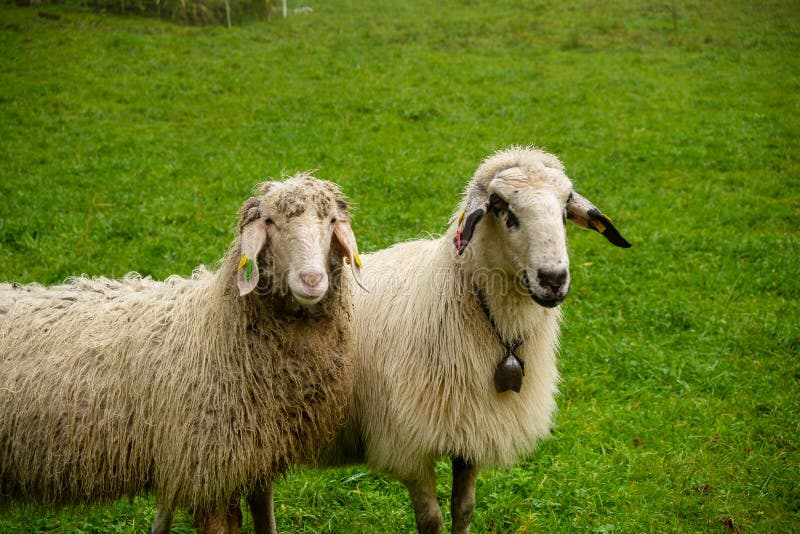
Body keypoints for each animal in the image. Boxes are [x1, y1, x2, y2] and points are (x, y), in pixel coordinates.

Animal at [0, 173, 367, 533]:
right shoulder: (208, 466)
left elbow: (265, 520)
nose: (312, 280)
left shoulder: (254, 456)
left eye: (331, 221)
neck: (218, 326)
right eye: (270, 221)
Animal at [154, 146, 631, 533]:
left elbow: (464, 509)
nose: (553, 279)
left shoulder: (471, 428)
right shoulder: (409, 442)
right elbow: (431, 520)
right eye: (501, 207)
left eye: (565, 208)